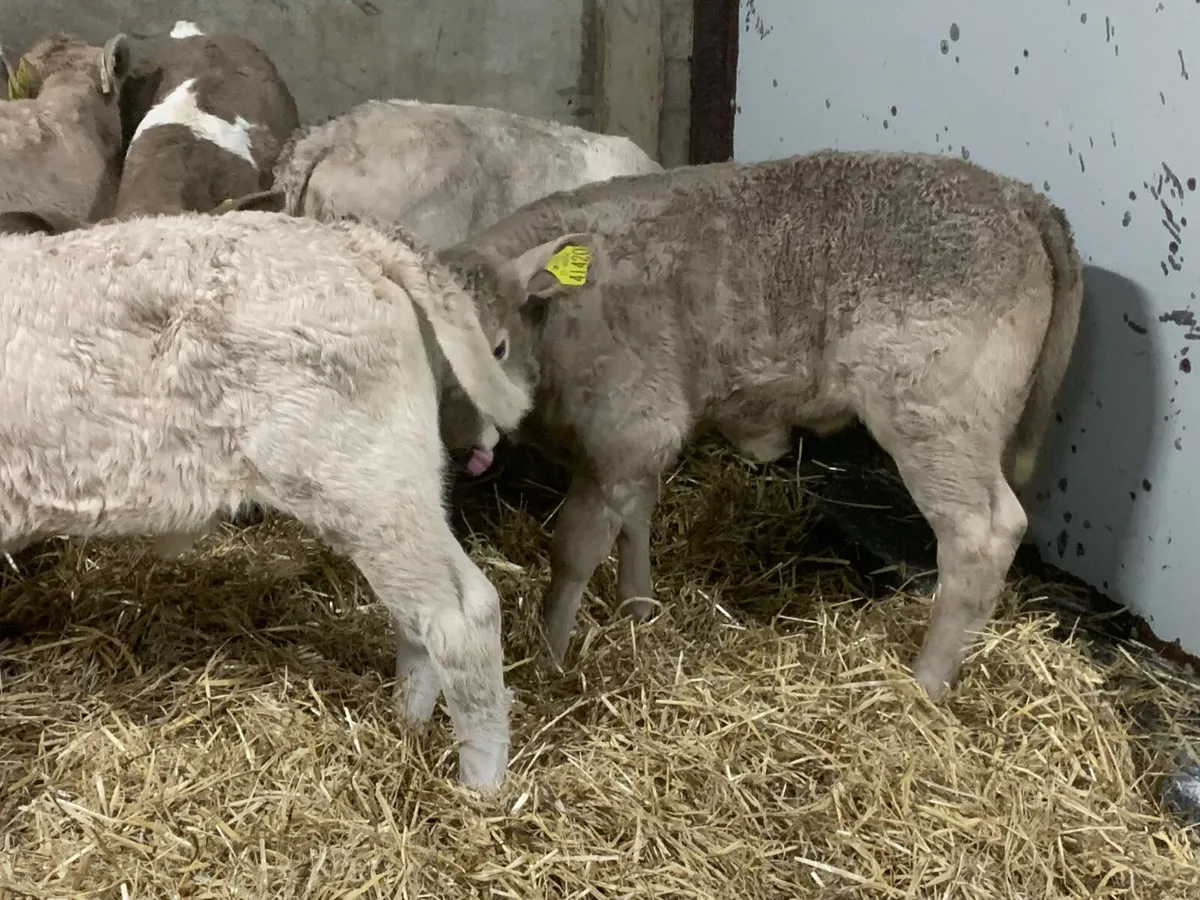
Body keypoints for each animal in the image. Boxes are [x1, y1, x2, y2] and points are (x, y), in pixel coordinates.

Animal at [433, 149, 1085, 701]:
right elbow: (636, 519)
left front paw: (547, 658)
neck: (562, 315)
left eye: (496, 347)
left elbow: (573, 550)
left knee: (981, 535)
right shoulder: (636, 446)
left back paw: (924, 685)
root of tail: (1024, 198)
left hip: (936, 421)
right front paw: (639, 610)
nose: (465, 447)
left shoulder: (629, 427)